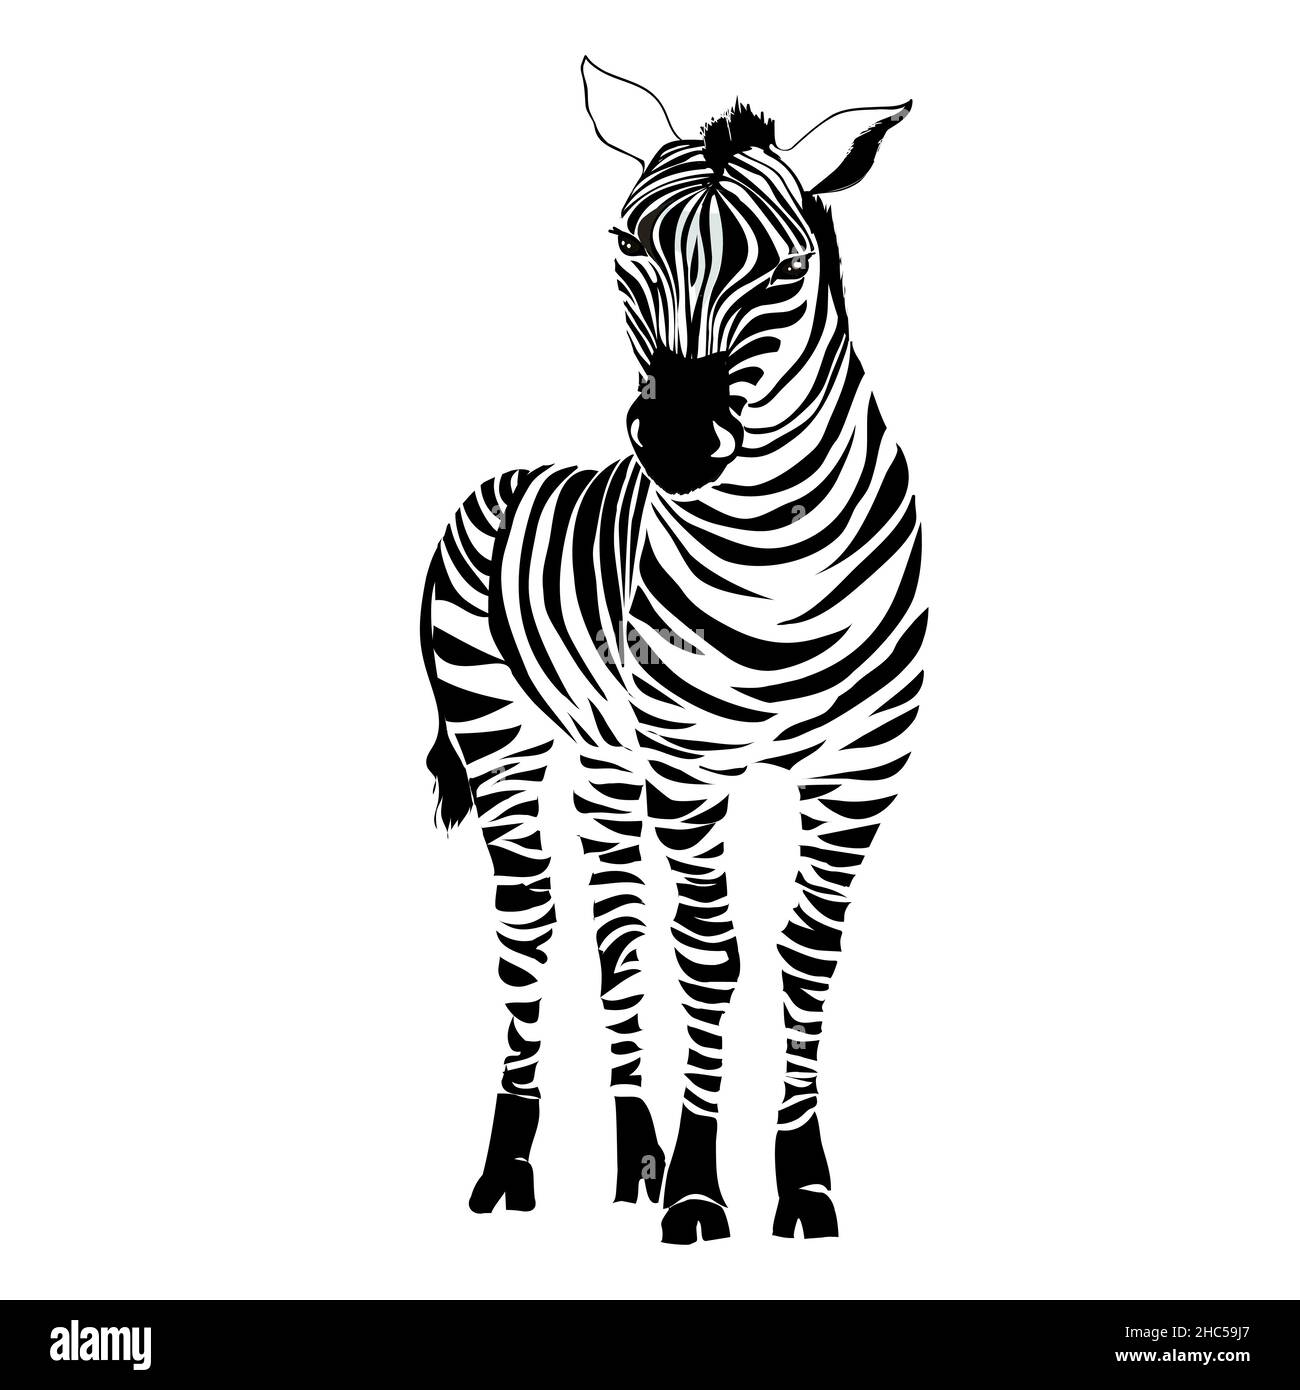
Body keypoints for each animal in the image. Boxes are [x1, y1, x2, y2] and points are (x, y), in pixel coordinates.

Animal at [420, 57, 923, 1244]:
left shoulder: (863, 774)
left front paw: (801, 1183)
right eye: (625, 243)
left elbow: (801, 961)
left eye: (783, 267)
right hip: (501, 742)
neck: (783, 566)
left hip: (609, 762)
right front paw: (700, 1190)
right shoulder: (692, 768)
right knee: (532, 934)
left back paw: (631, 1159)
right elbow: (710, 957)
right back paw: (511, 1170)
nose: (678, 442)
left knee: (614, 939)